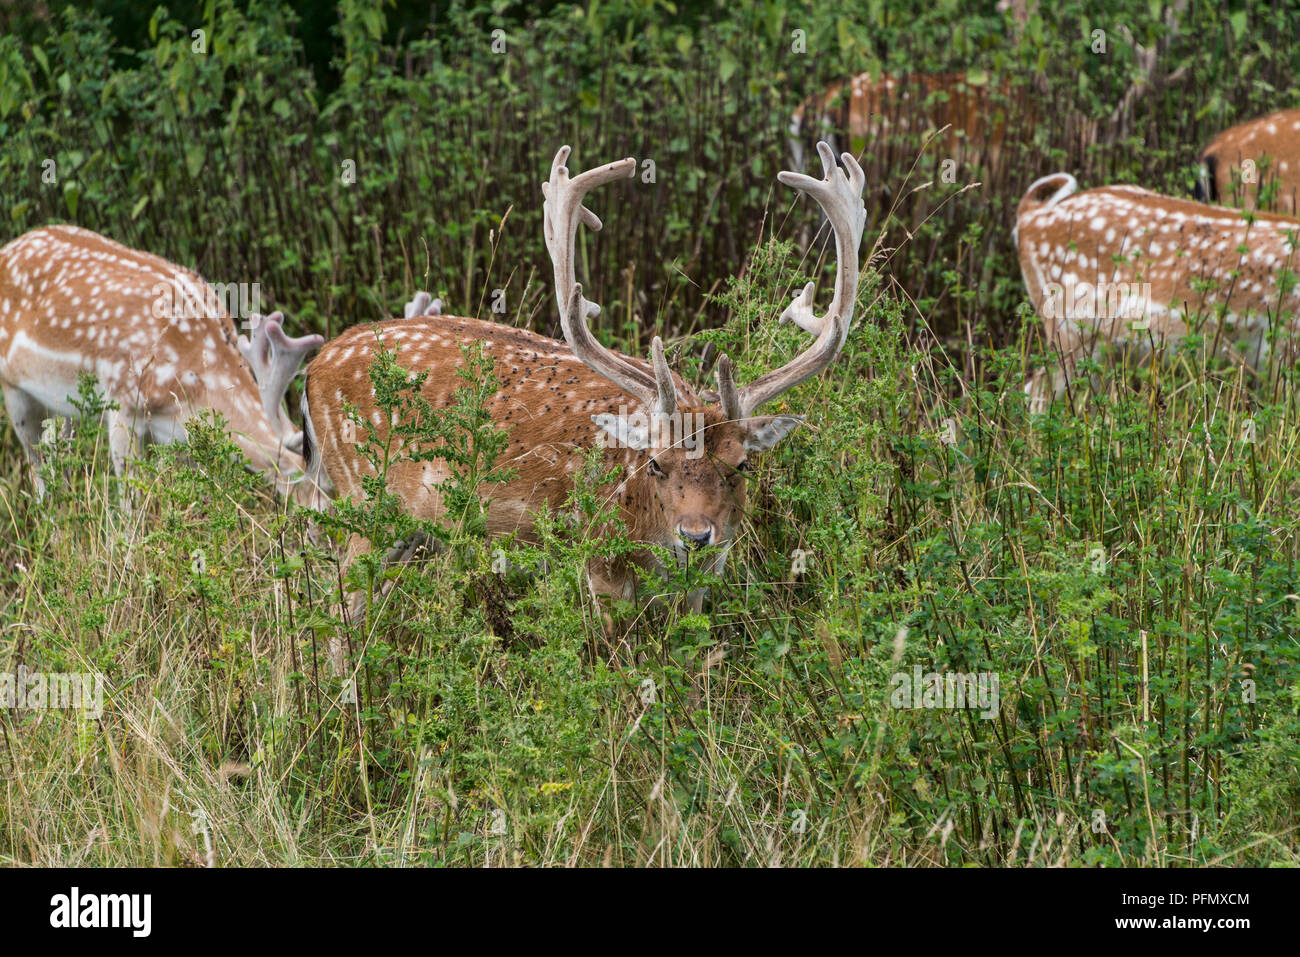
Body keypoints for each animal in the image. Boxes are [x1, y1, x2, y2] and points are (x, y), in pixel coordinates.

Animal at [0, 224, 323, 508]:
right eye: (323, 496)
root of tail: (7, 248)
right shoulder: (122, 401)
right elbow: (130, 506)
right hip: (14, 391)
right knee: (36, 466)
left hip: (63, 406)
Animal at [302, 141, 865, 640]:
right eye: (656, 462)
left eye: (741, 464)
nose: (695, 536)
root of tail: (314, 369)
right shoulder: (599, 560)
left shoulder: (708, 577)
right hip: (362, 497)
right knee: (337, 606)